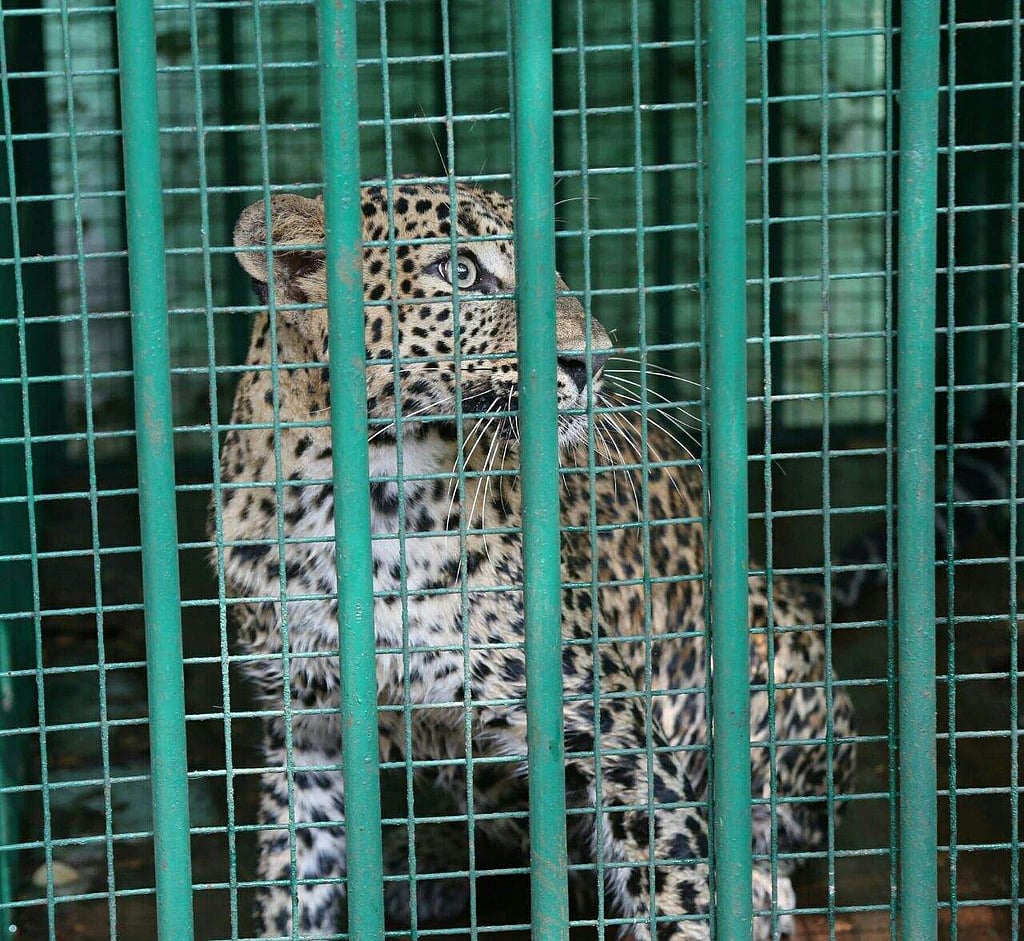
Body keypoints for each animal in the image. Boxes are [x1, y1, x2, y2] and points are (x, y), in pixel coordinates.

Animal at [214, 180, 856, 940]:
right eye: (460, 272)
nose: (593, 360)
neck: (375, 500)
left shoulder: (606, 720)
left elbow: (671, 863)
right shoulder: (307, 728)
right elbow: (293, 880)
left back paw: (756, 887)